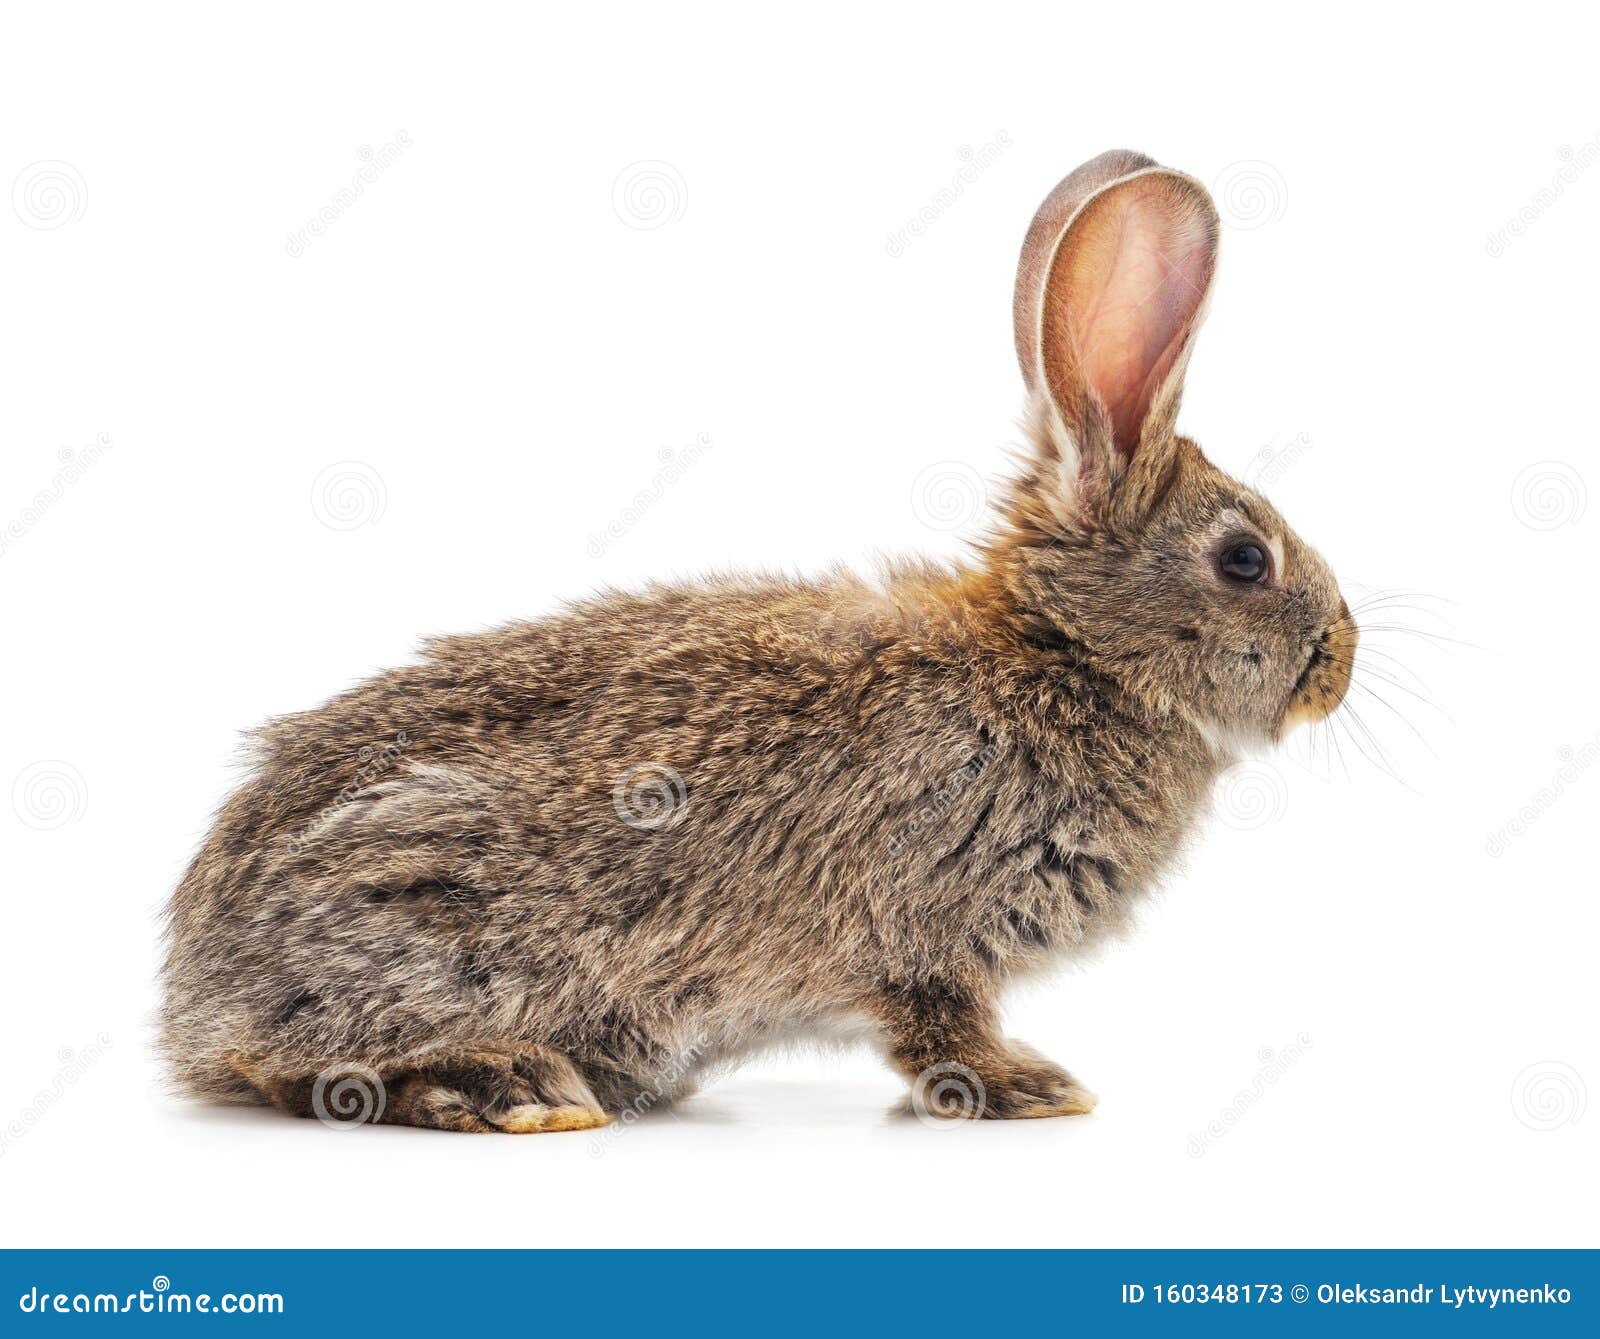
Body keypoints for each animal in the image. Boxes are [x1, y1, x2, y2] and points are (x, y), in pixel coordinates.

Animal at [160, 149, 1357, 1133]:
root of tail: (191, 1000)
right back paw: (506, 1083)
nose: (1338, 666)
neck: (1064, 657)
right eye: (1244, 560)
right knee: (303, 1068)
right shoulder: (919, 928)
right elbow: (937, 1025)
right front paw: (1024, 1086)